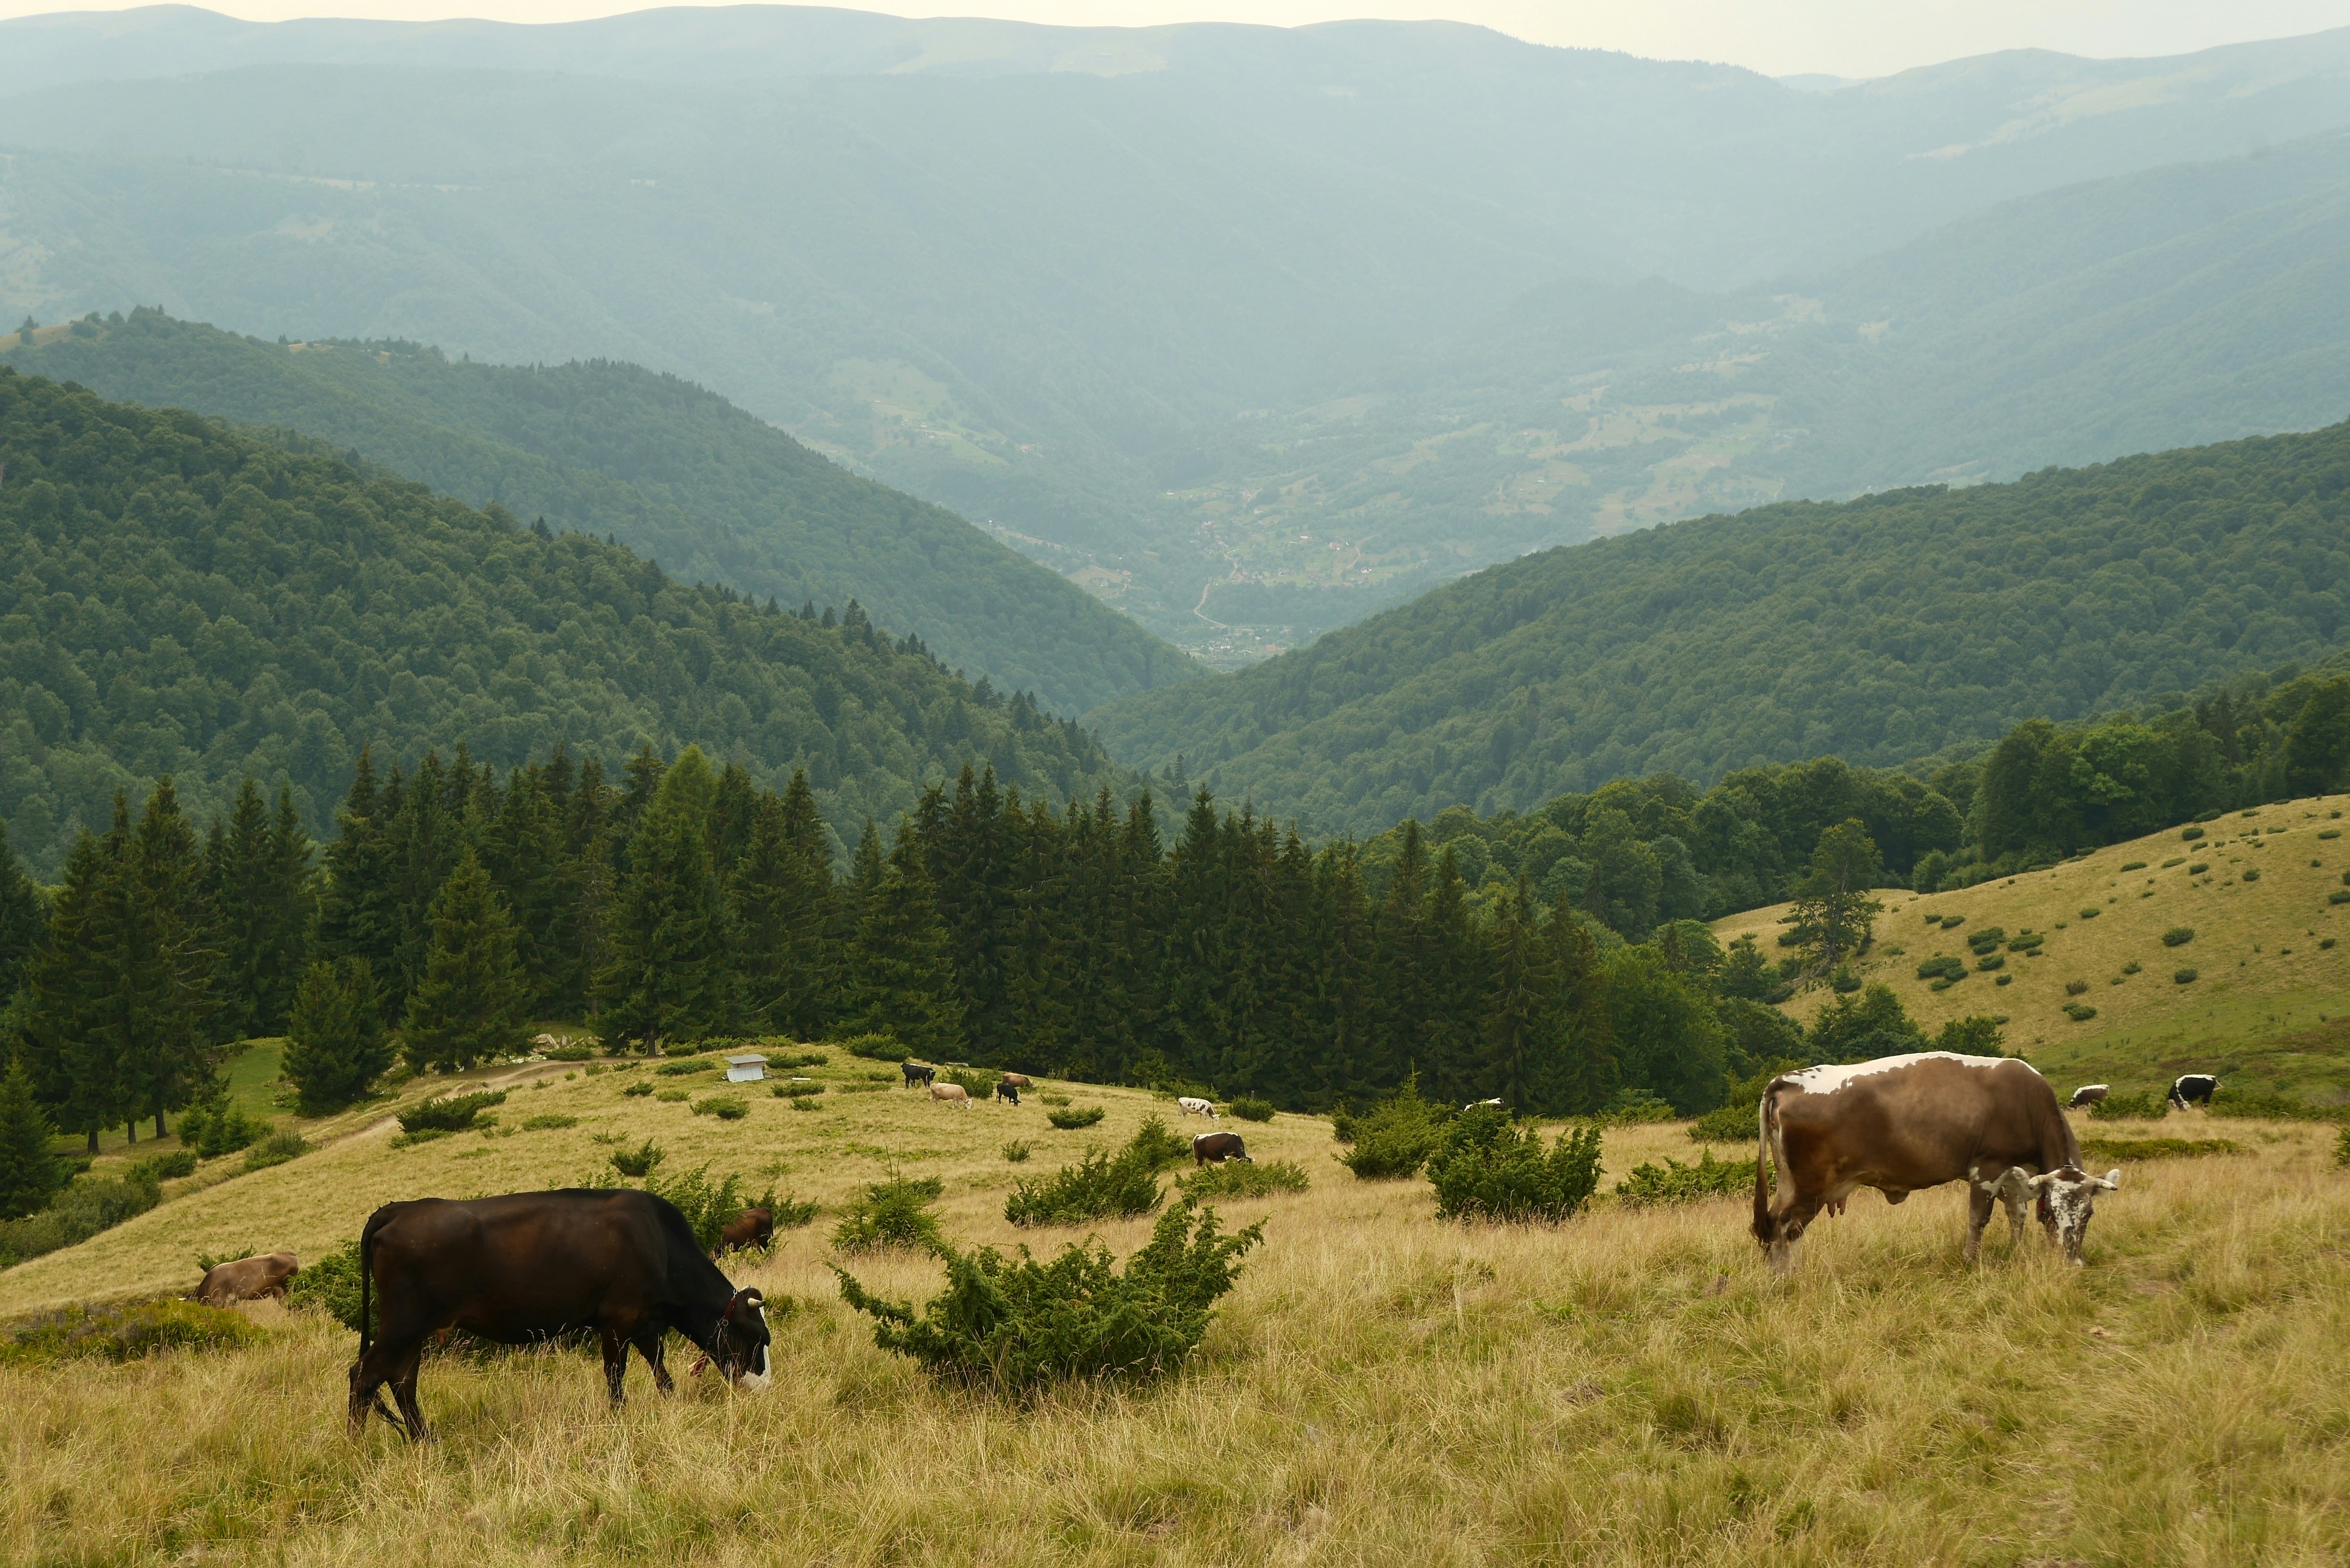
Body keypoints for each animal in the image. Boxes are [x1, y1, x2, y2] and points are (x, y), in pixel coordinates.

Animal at [348, 1189, 772, 1441]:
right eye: (759, 1338)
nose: (765, 1388)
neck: (659, 1242)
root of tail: (397, 1210)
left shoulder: (645, 1323)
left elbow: (660, 1370)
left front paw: (667, 1403)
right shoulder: (617, 1320)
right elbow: (615, 1375)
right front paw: (618, 1417)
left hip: (415, 1330)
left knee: (401, 1380)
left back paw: (425, 1439)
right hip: (403, 1324)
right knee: (366, 1374)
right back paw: (357, 1449)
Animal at [1752, 1052, 2121, 1275]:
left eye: (2088, 1214)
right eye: (2052, 1214)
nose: (2071, 1263)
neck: (2028, 1102)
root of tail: (1789, 1080)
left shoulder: (2016, 1176)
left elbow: (2017, 1215)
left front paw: (2018, 1253)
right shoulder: (1988, 1168)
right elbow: (1978, 1219)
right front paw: (1970, 1261)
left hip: (1790, 1182)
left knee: (1774, 1225)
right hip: (1810, 1185)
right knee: (1787, 1228)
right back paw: (1787, 1279)